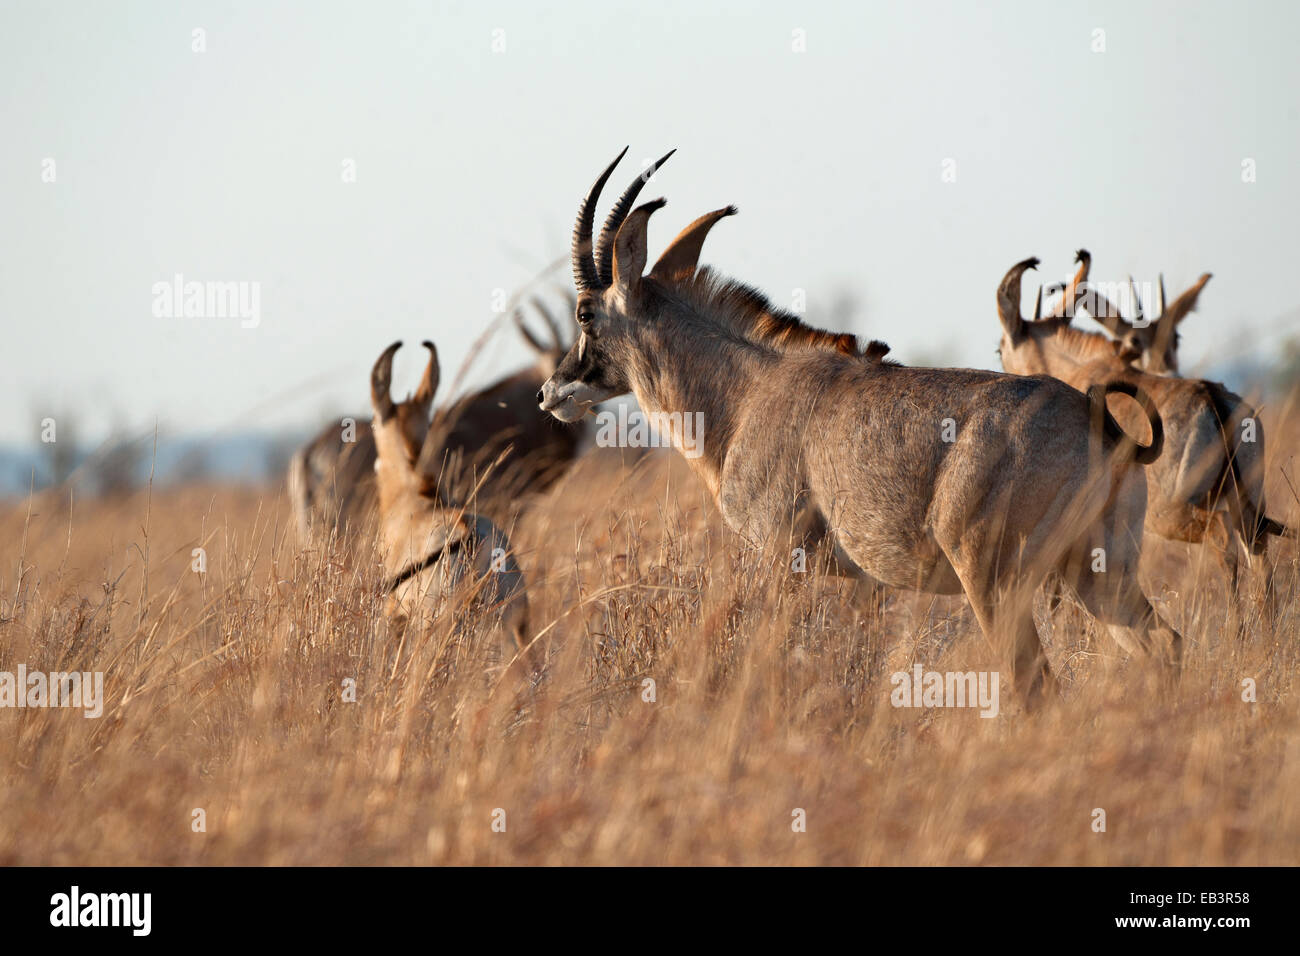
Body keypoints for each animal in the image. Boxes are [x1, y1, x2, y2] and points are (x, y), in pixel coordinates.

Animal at [538, 149, 1182, 706]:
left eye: (585, 312)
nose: (550, 392)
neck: (747, 392)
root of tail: (1102, 428)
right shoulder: (865, 581)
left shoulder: (779, 553)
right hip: (1100, 575)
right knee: (1163, 644)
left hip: (995, 579)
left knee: (1036, 680)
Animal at [998, 250, 1289, 599]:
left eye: (999, 349)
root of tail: (1211, 397)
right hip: (1247, 506)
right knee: (1261, 562)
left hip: (1172, 512)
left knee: (1221, 538)